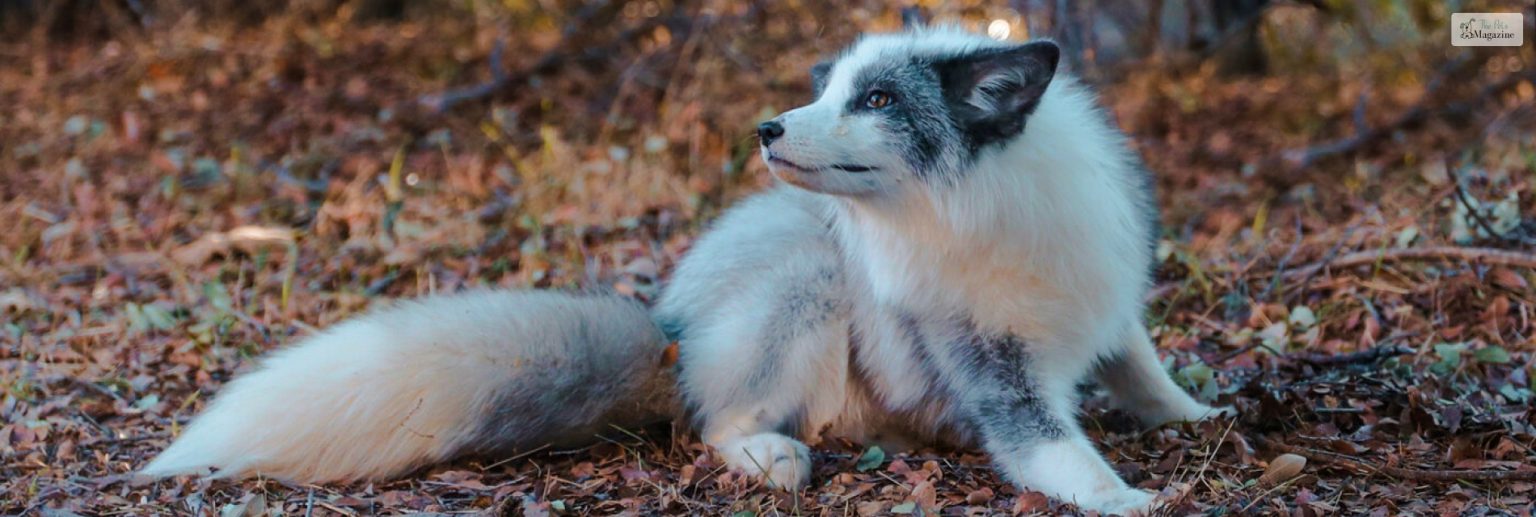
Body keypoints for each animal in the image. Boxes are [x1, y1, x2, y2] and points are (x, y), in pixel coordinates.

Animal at [141, 26, 1230, 514]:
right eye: (827, 88)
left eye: (877, 98)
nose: (767, 127)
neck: (986, 207)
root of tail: (667, 327)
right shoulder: (993, 371)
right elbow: (1061, 455)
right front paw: (1138, 500)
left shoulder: (1108, 305)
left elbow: (1143, 368)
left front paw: (1203, 415)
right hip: (806, 278)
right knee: (718, 421)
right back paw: (773, 455)